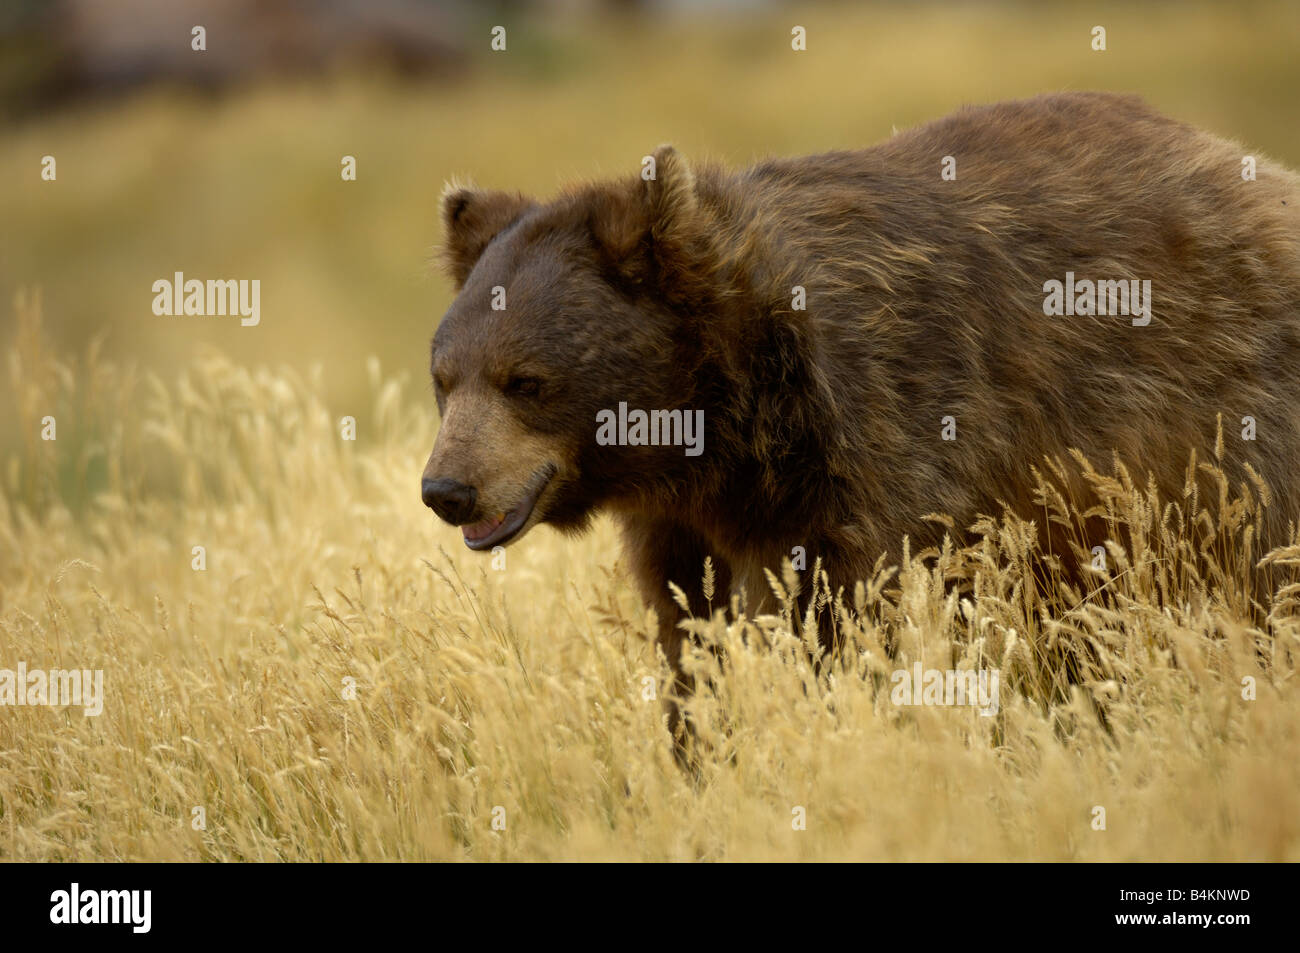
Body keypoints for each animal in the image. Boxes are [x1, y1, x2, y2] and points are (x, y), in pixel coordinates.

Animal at [421, 91, 1300, 720]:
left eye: (526, 379)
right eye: (444, 376)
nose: (447, 488)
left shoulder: (888, 450)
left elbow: (841, 622)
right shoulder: (686, 522)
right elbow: (692, 633)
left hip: (1230, 441)